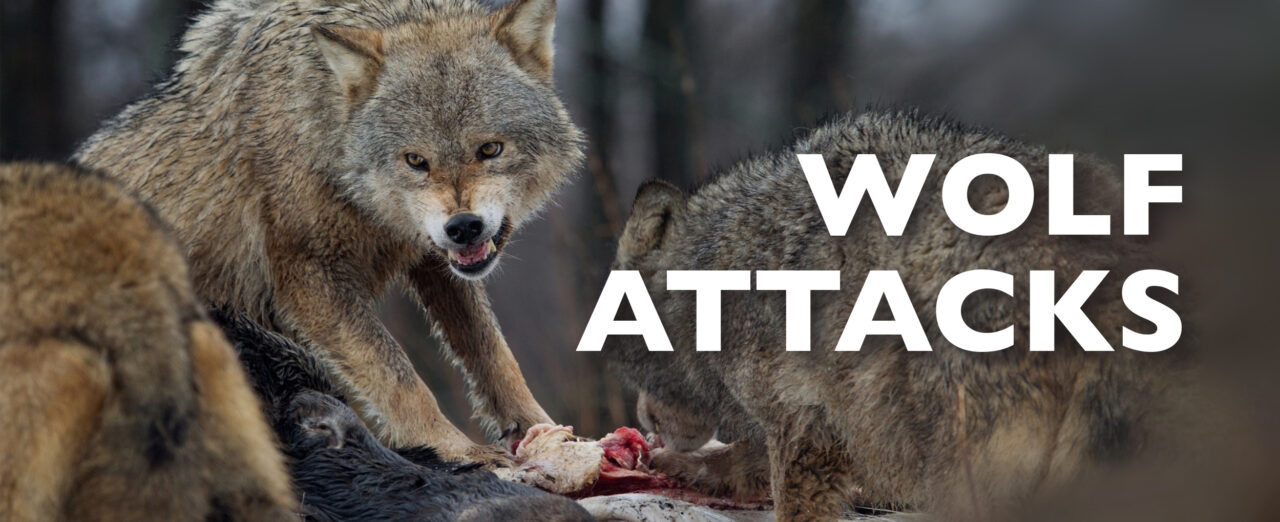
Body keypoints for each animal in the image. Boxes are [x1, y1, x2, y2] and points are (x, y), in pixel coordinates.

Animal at [73, 0, 584, 463]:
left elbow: (494, 355)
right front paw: (455, 448)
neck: (325, 131)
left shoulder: (434, 261)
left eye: (490, 149)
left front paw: (543, 430)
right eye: (415, 161)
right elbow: (399, 376)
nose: (462, 227)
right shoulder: (308, 278)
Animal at [605, 110, 1187, 521]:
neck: (716, 273)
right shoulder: (825, 426)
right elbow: (735, 462)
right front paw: (679, 467)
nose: (643, 422)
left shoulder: (802, 423)